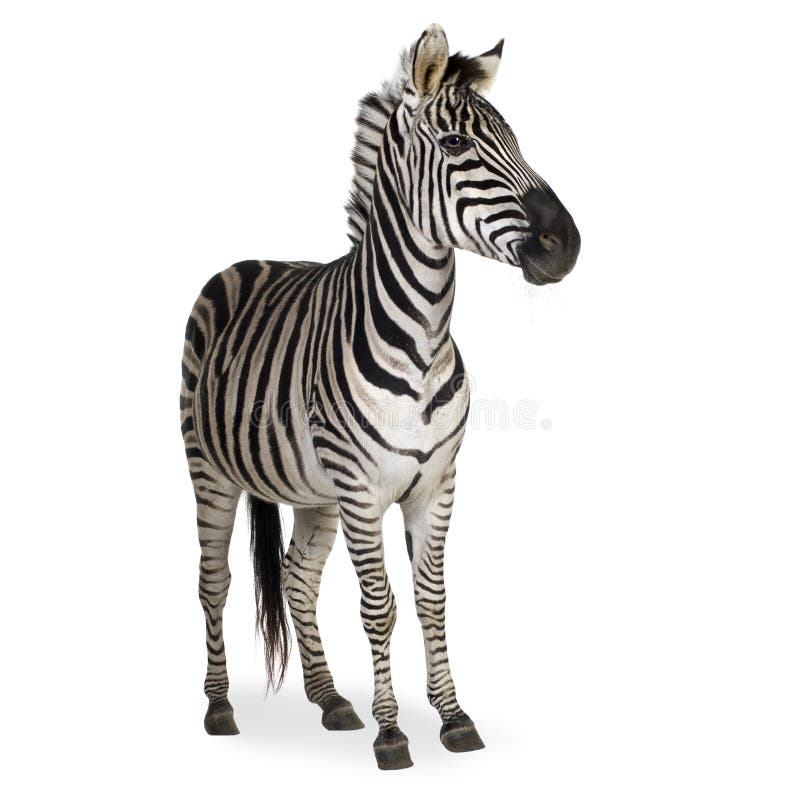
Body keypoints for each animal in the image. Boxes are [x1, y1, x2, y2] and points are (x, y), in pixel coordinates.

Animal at [180, 23, 580, 770]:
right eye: (455, 145)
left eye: (515, 140)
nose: (565, 244)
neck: (421, 338)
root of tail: (245, 262)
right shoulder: (364, 490)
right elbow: (379, 606)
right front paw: (392, 732)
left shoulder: (436, 484)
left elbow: (430, 601)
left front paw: (453, 717)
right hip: (210, 470)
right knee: (212, 580)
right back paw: (219, 708)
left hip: (313, 492)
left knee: (297, 577)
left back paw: (331, 700)